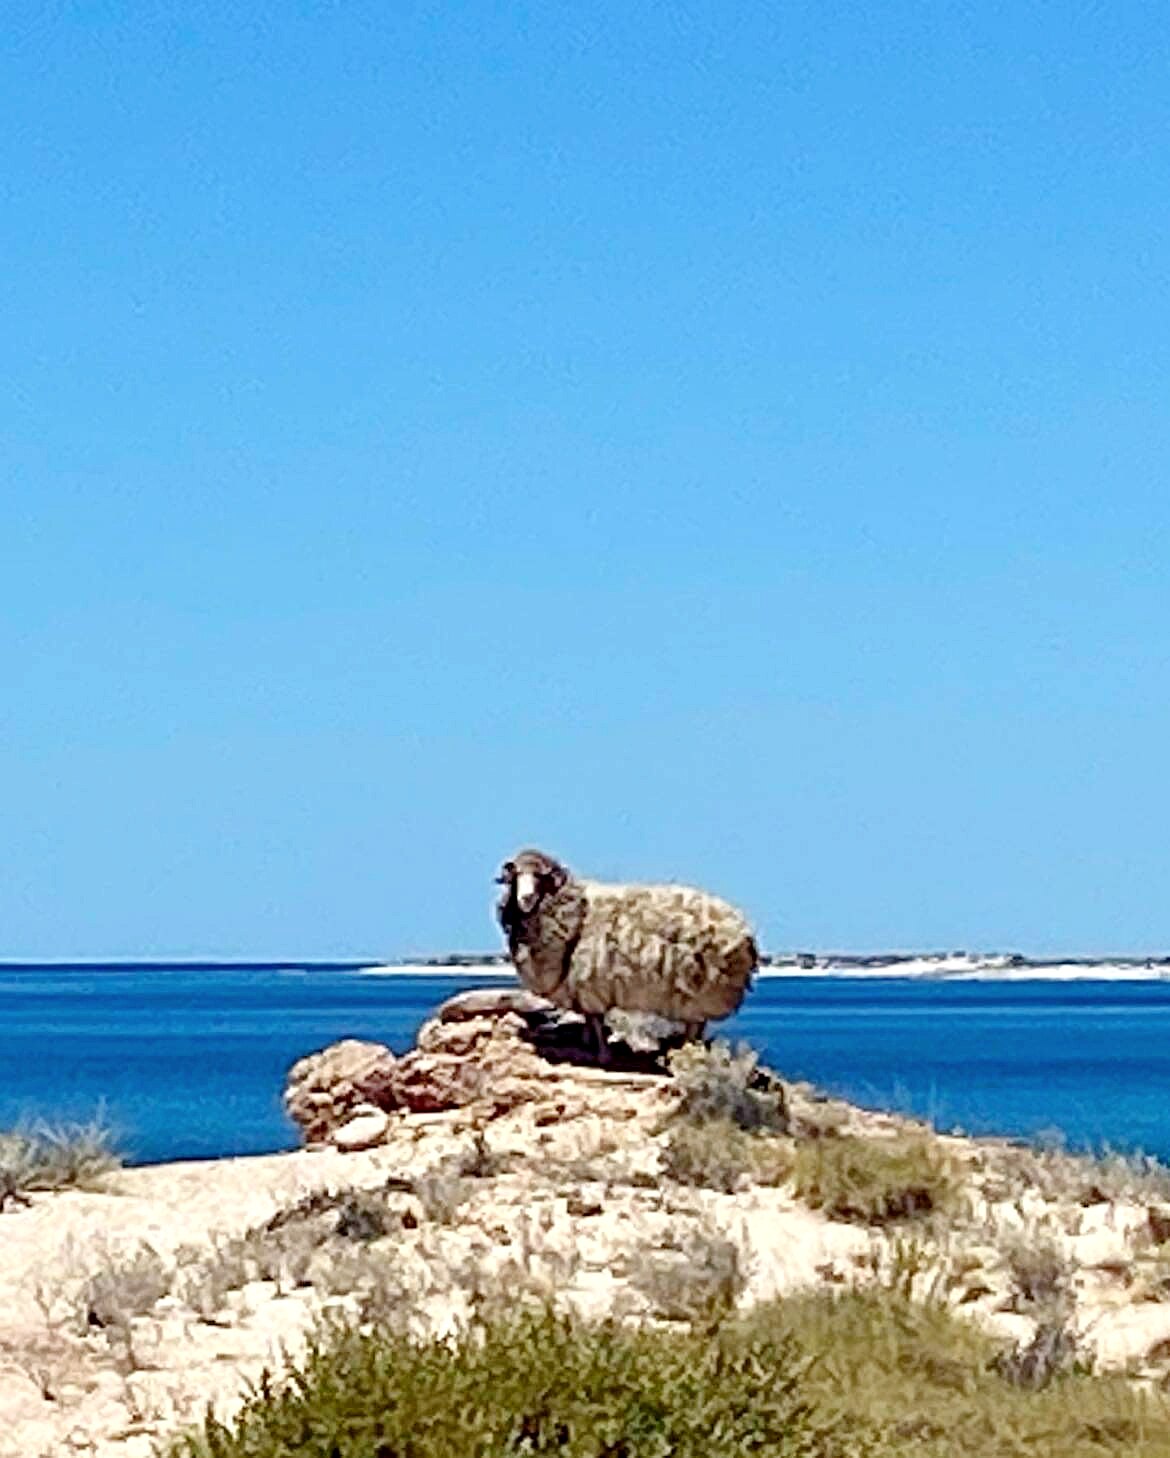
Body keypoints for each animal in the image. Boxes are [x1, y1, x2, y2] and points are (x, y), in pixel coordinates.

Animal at [494, 848, 758, 1058]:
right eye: (515, 876)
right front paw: (585, 1043)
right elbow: (590, 1022)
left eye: (540, 877)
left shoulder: (588, 985)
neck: (578, 914)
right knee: (699, 1024)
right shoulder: (580, 988)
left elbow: (596, 1022)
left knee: (695, 1024)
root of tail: (744, 929)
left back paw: (684, 1050)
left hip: (705, 991)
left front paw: (602, 1055)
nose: (526, 898)